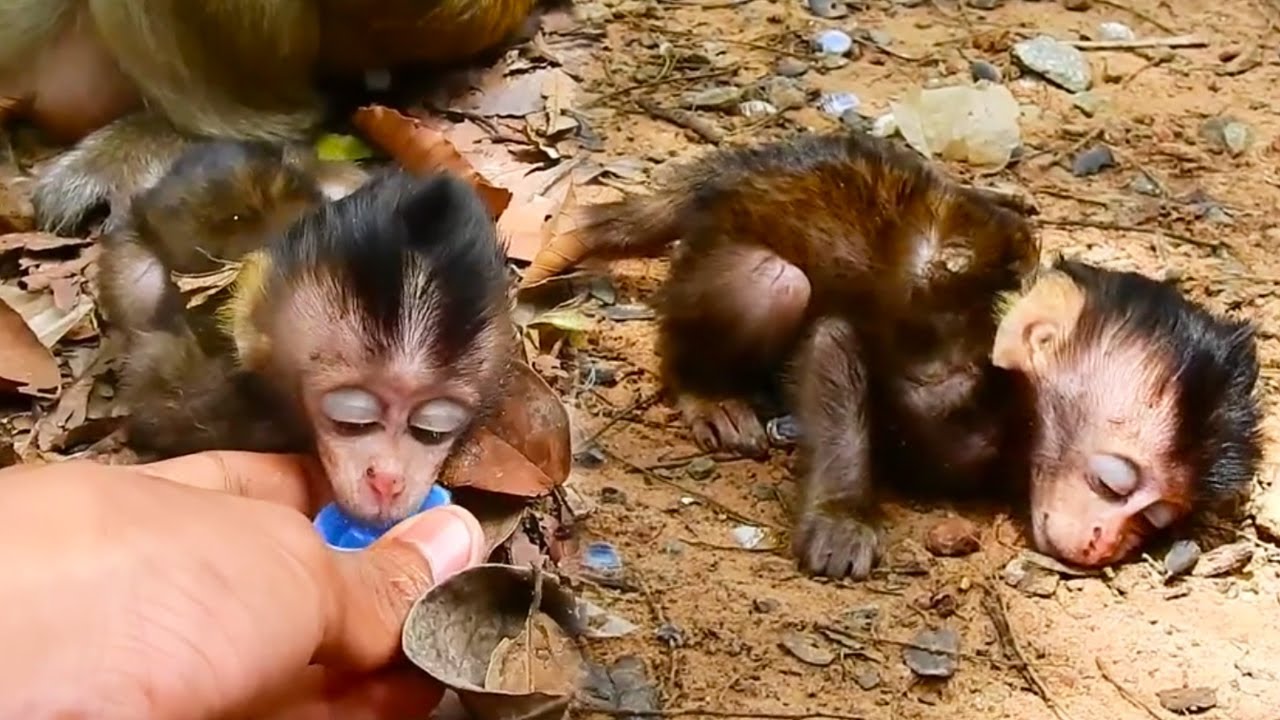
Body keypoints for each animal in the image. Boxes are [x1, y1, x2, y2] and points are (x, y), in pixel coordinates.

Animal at [556, 130, 1263, 578]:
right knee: (771, 280)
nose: (1105, 543)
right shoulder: (945, 355)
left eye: (1155, 520)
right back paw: (707, 391)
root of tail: (736, 178)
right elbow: (833, 345)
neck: (1012, 408)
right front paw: (842, 515)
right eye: (1111, 484)